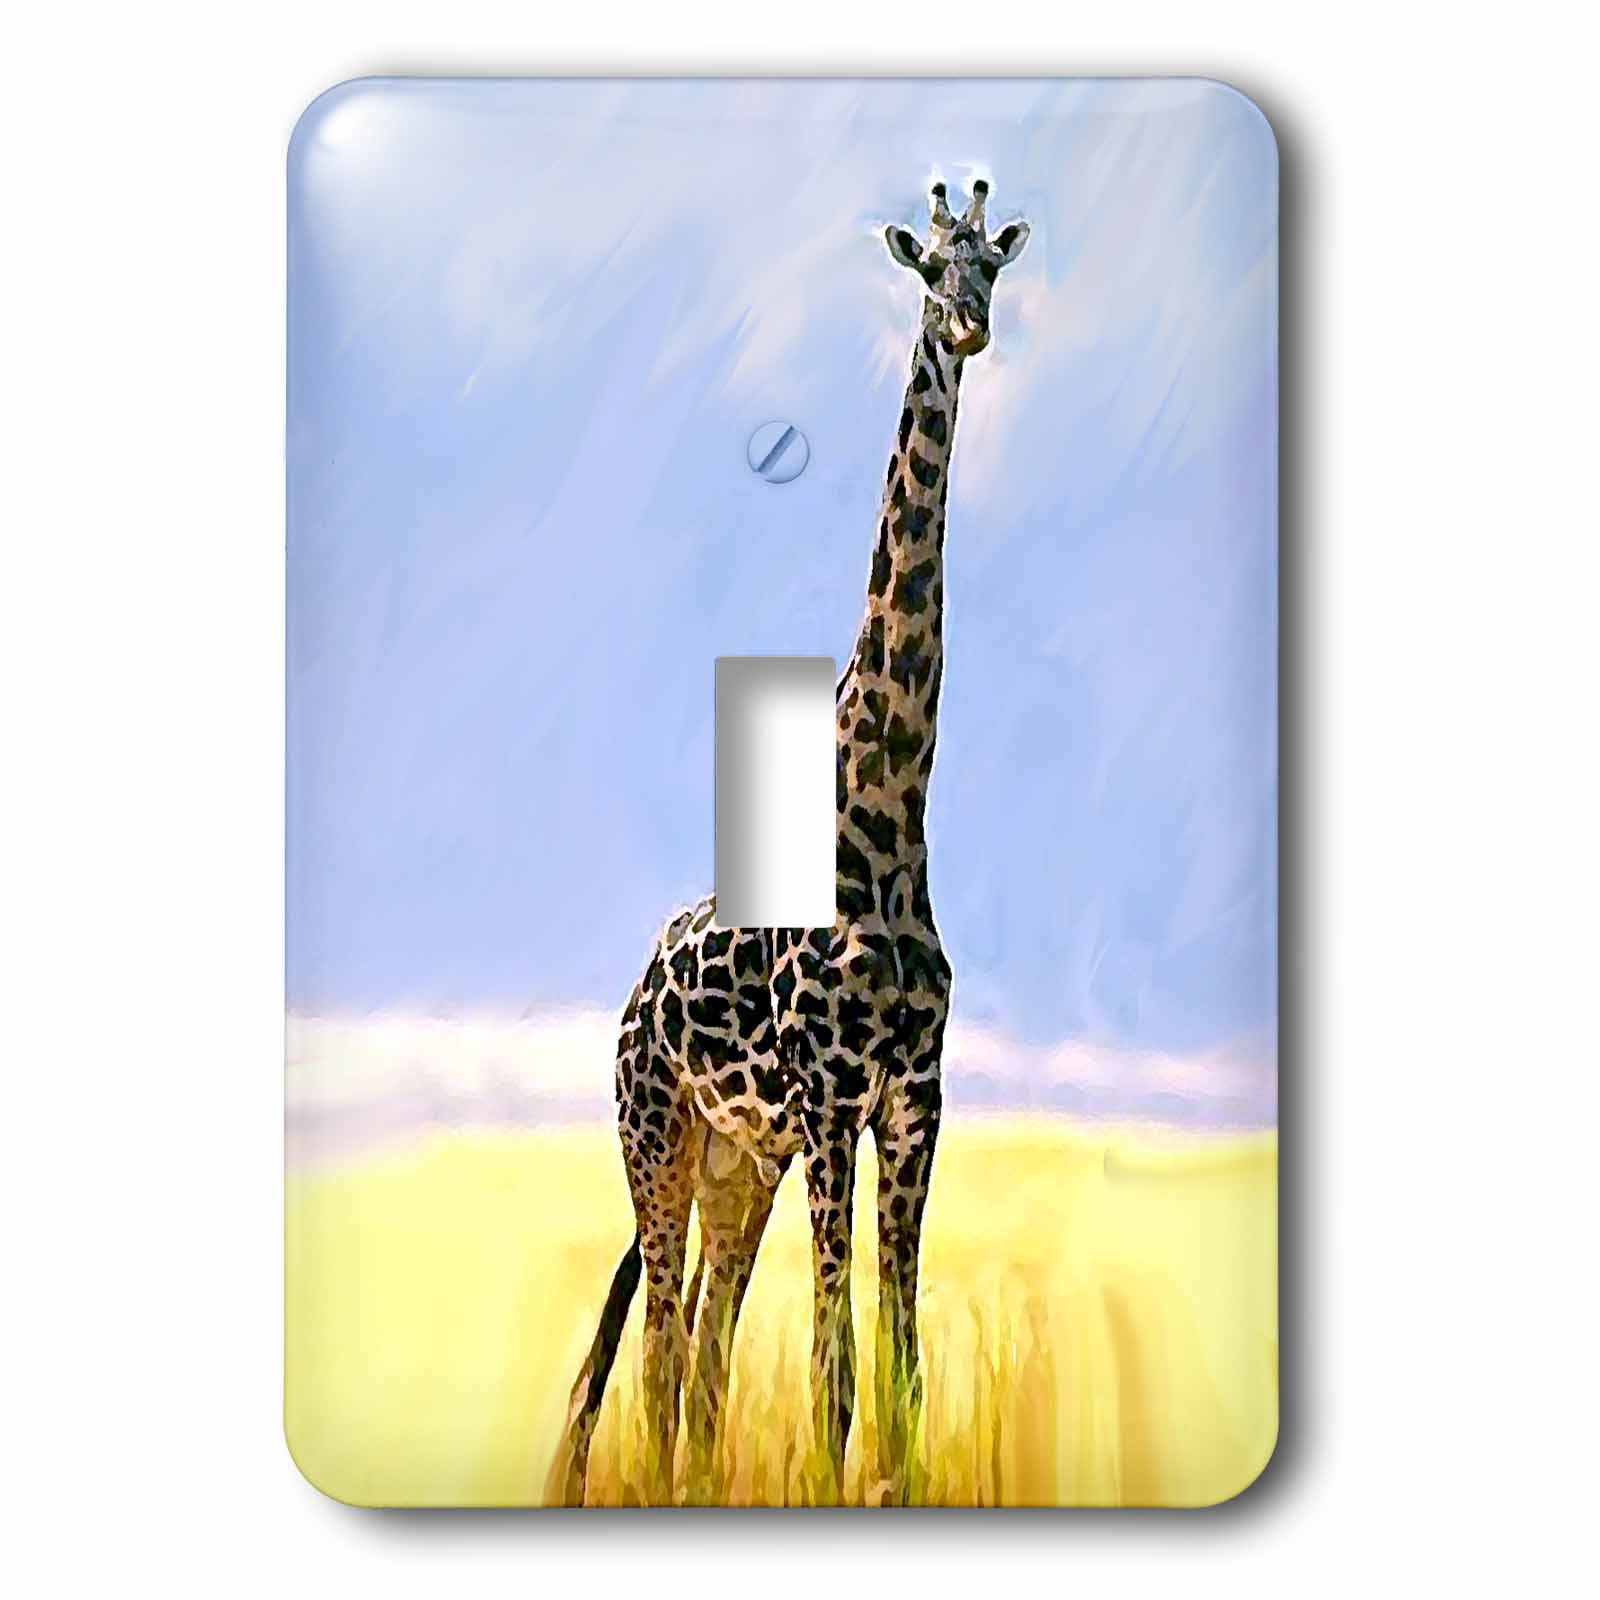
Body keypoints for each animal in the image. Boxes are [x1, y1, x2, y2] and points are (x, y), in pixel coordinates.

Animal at [550, 179, 1031, 1506]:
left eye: (993, 265)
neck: (885, 816)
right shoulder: (830, 1095)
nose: (970, 327)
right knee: (662, 1349)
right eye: (929, 269)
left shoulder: (914, 1095)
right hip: (656, 1140)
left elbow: (899, 1353)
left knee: (707, 1347)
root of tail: (633, 990)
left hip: (737, 1166)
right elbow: (835, 1364)